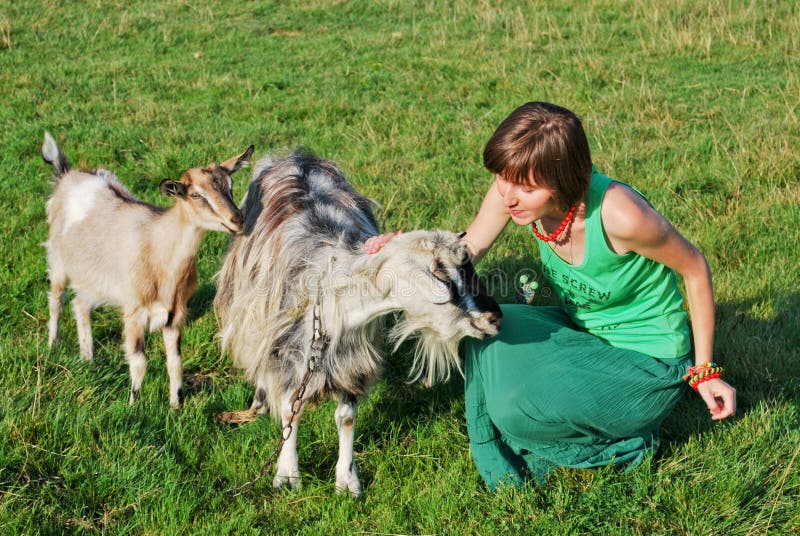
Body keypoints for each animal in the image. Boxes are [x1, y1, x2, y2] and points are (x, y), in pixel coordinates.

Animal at [42, 132, 253, 408]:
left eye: (230, 186)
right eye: (195, 195)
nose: (237, 220)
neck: (158, 246)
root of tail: (66, 174)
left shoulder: (175, 315)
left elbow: (175, 362)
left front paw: (176, 405)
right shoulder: (134, 312)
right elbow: (139, 361)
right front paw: (133, 405)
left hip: (91, 277)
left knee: (80, 305)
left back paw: (88, 357)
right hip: (58, 260)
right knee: (56, 299)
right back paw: (53, 346)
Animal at [214, 151, 502, 495]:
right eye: (446, 280)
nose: (495, 318)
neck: (329, 300)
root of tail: (292, 153)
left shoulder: (350, 360)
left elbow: (346, 417)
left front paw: (347, 481)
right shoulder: (289, 354)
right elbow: (289, 410)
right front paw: (287, 475)